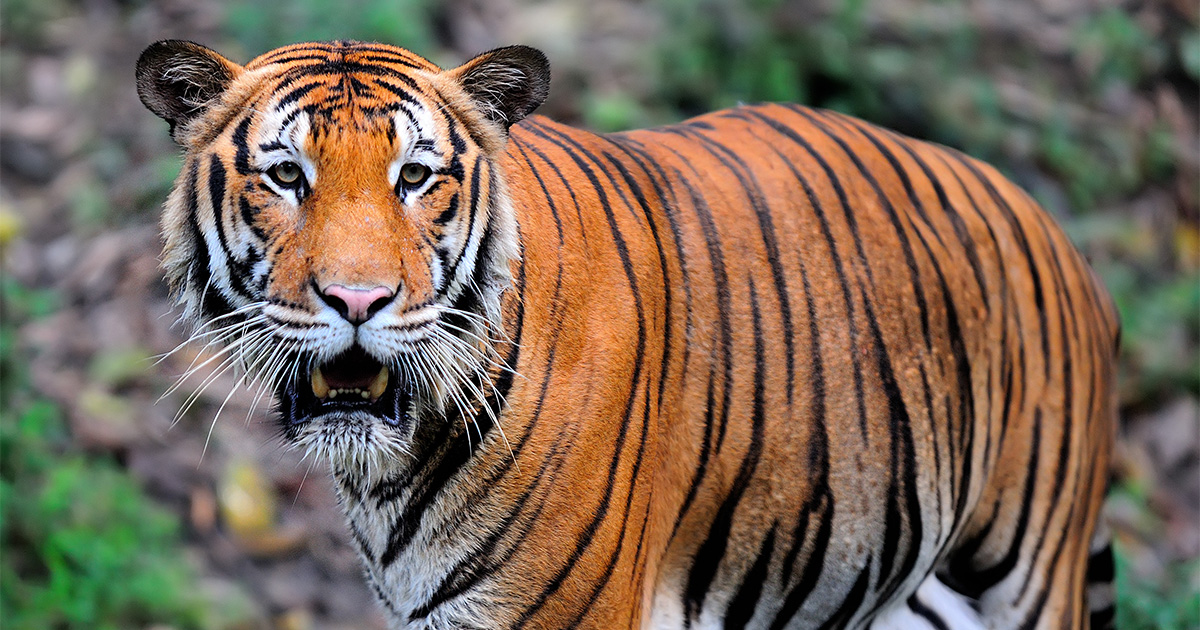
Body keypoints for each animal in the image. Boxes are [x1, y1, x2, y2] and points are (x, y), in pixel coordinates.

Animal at [136, 39, 1120, 630]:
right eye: (286, 177)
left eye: (414, 178)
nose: (357, 299)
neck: (390, 474)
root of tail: (1056, 232)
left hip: (1031, 571)